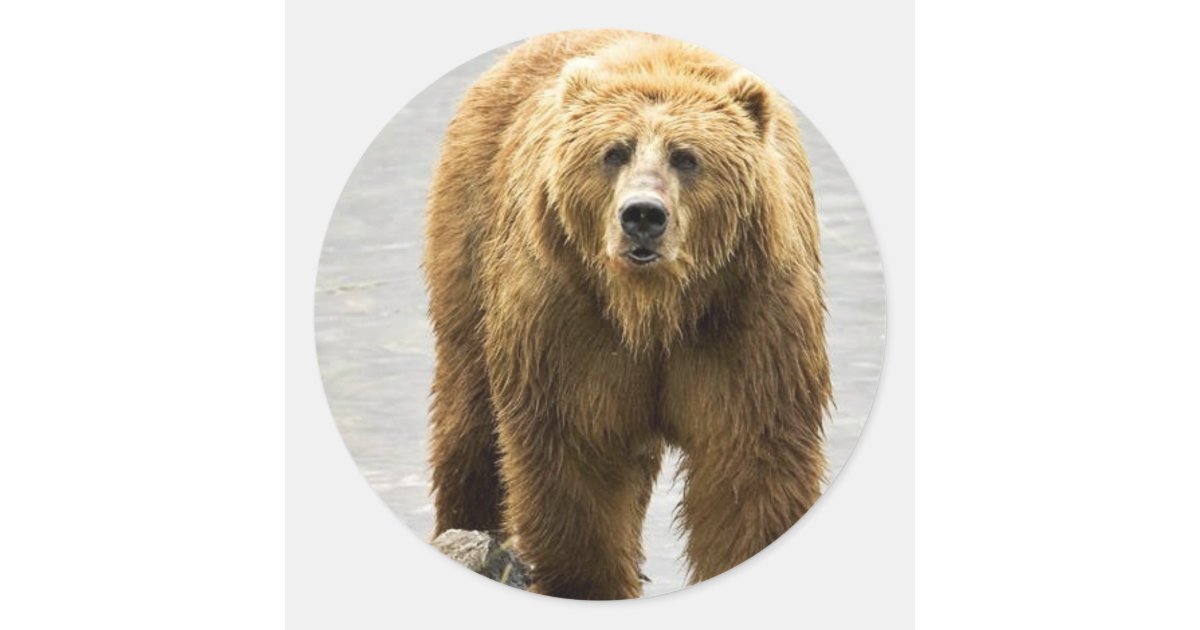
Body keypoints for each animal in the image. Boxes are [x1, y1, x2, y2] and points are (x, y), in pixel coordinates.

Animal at [423, 30, 831, 600]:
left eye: (686, 157)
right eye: (613, 151)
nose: (642, 215)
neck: (654, 307)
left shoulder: (747, 316)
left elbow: (751, 459)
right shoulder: (568, 317)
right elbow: (575, 455)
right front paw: (586, 581)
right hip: (471, 233)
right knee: (471, 412)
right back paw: (470, 528)